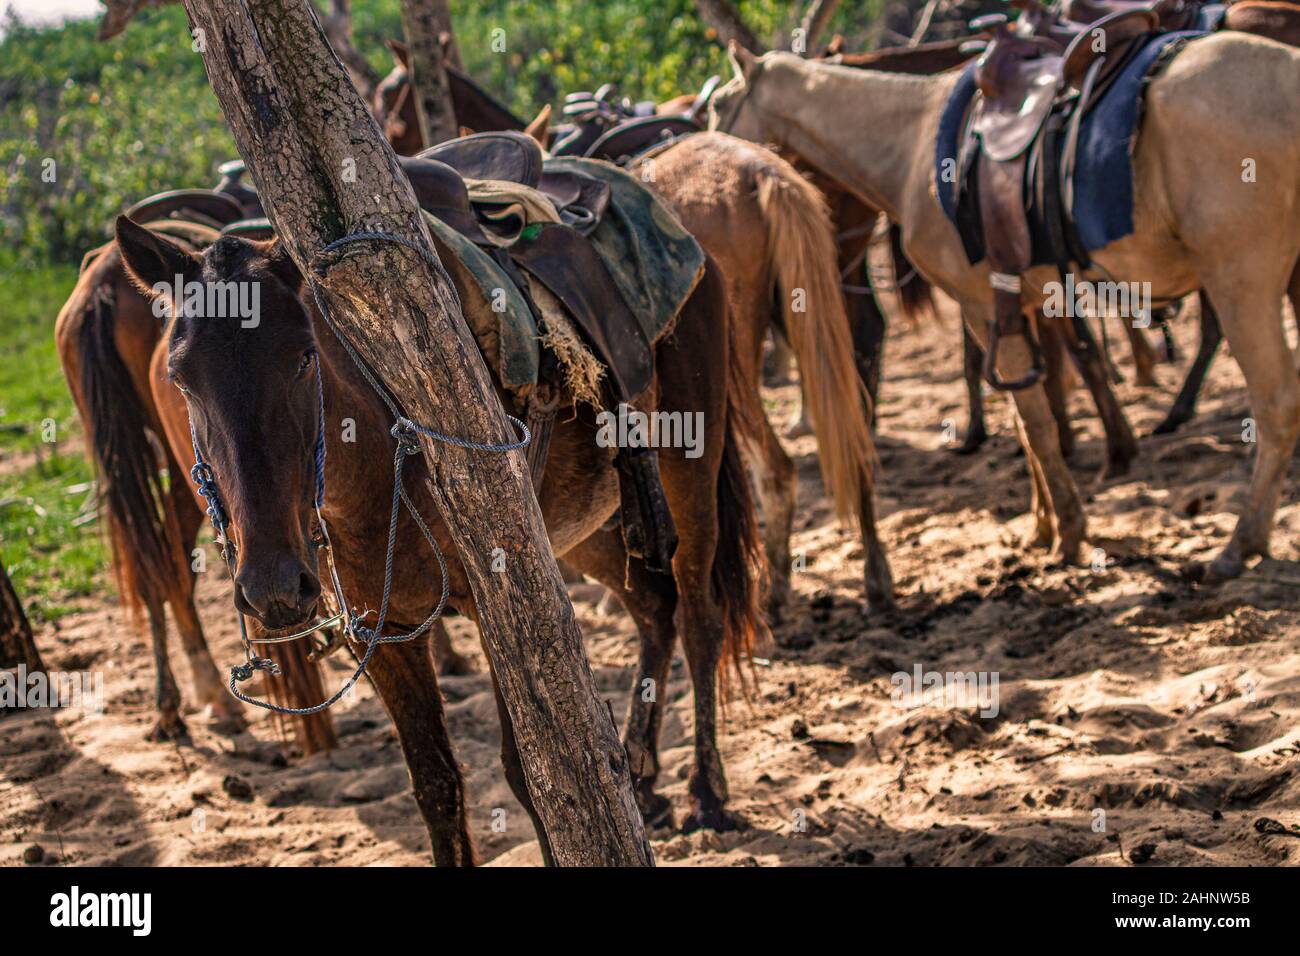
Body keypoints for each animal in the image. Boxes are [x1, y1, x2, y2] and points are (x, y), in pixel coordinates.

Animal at [111, 212, 767, 861]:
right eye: (180, 380)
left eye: (303, 359)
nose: (272, 584)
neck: (386, 457)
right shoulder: (383, 635)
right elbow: (435, 784)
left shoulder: (502, 608)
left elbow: (535, 778)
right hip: (579, 534)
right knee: (655, 609)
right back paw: (644, 778)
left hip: (689, 474)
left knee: (699, 619)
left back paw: (706, 794)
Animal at [712, 34, 1300, 580]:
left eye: (720, 105)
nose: (708, 154)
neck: (911, 141)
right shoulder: (1028, 305)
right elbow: (1032, 419)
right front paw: (1043, 528)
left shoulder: (982, 307)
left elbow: (1036, 423)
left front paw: (1069, 533)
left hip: (1240, 281)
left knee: (1275, 404)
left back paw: (1240, 544)